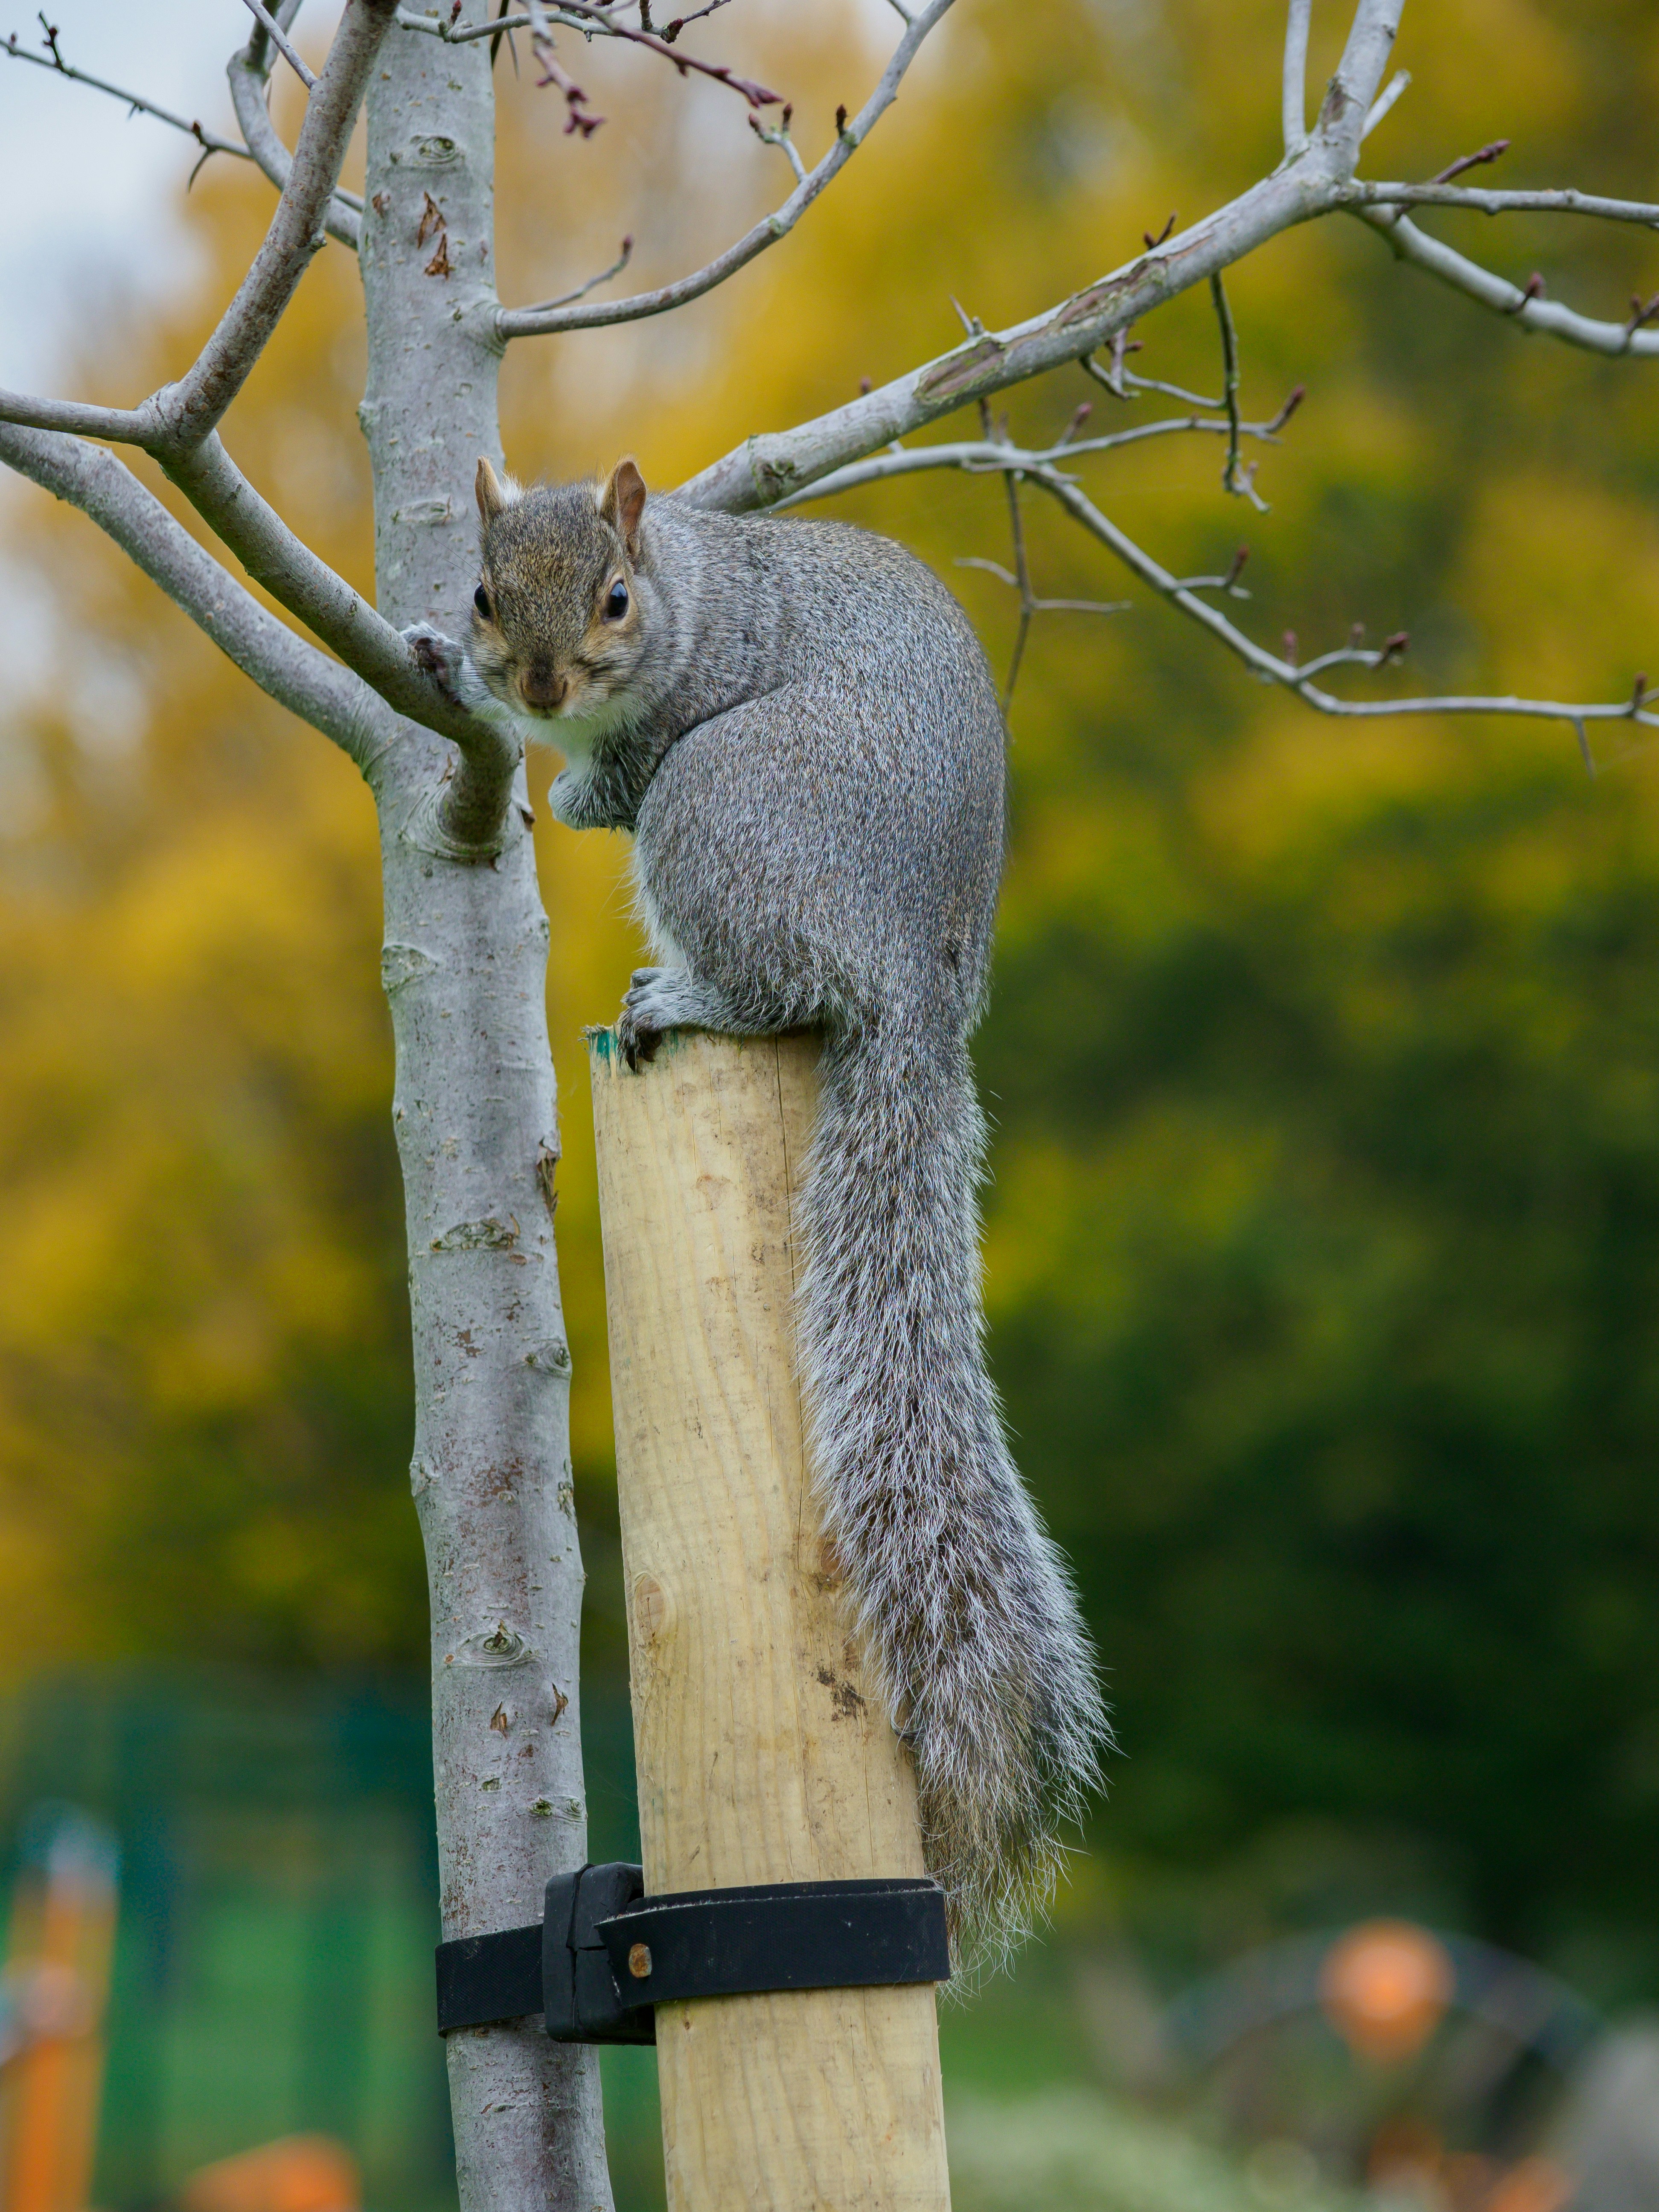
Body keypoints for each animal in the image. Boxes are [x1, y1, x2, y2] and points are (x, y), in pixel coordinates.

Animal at [407, 454, 1109, 1959]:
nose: (539, 680)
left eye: (616, 600)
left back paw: (684, 993)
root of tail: (918, 984)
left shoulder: (663, 731)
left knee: (771, 981)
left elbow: (599, 795)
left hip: (725, 810)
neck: (697, 583)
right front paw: (434, 658)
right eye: (486, 590)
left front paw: (527, 750)